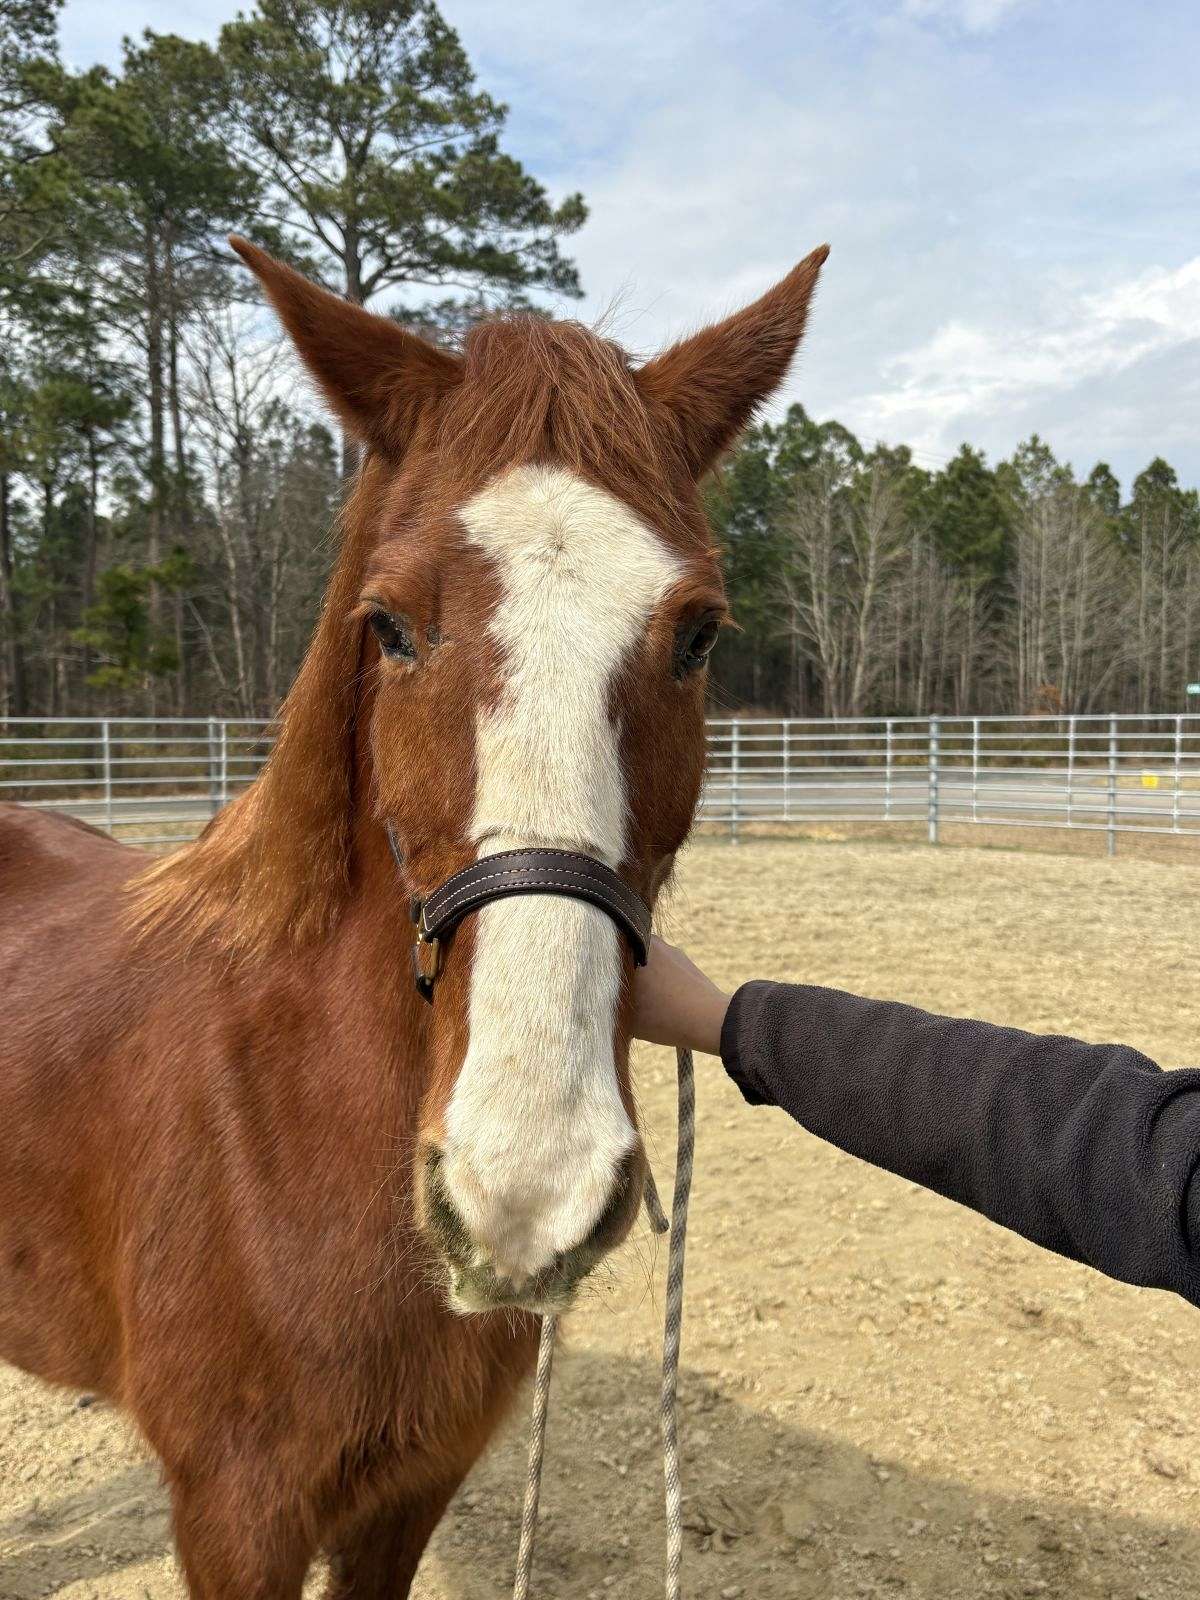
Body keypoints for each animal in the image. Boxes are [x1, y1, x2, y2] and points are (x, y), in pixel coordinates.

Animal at [0, 233, 827, 1597]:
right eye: (387, 624)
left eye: (700, 634)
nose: (524, 1186)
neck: (282, 1106)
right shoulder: (235, 1517)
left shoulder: (409, 1492)